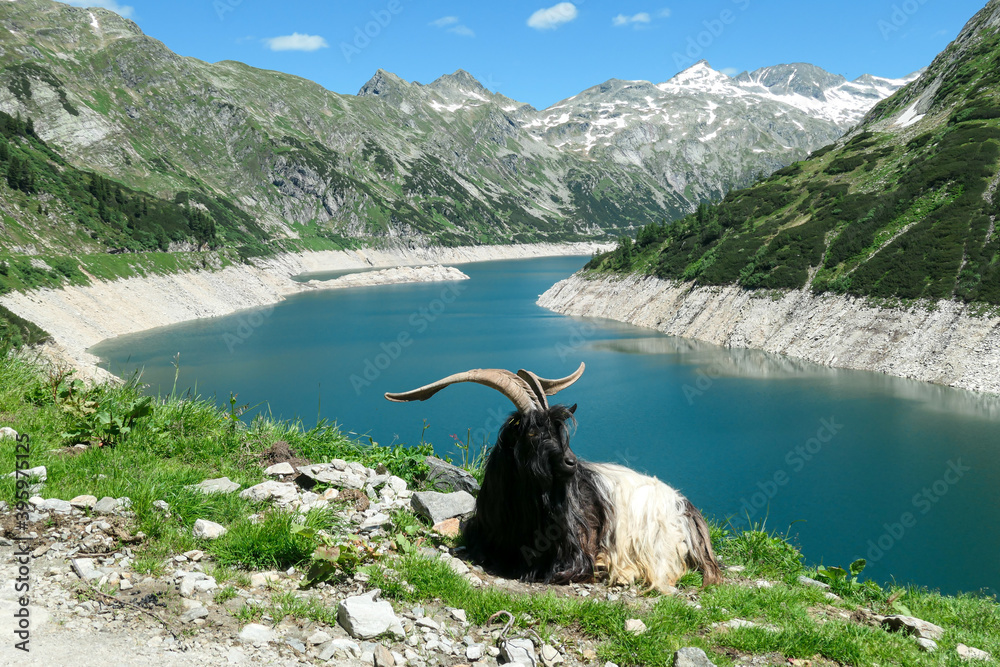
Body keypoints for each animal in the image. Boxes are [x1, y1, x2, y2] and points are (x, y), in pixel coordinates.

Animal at [385, 362, 722, 592]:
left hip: (655, 540)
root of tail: (684, 506)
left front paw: (602, 567)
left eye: (560, 432)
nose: (571, 462)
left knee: (666, 570)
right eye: (533, 433)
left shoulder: (575, 553)